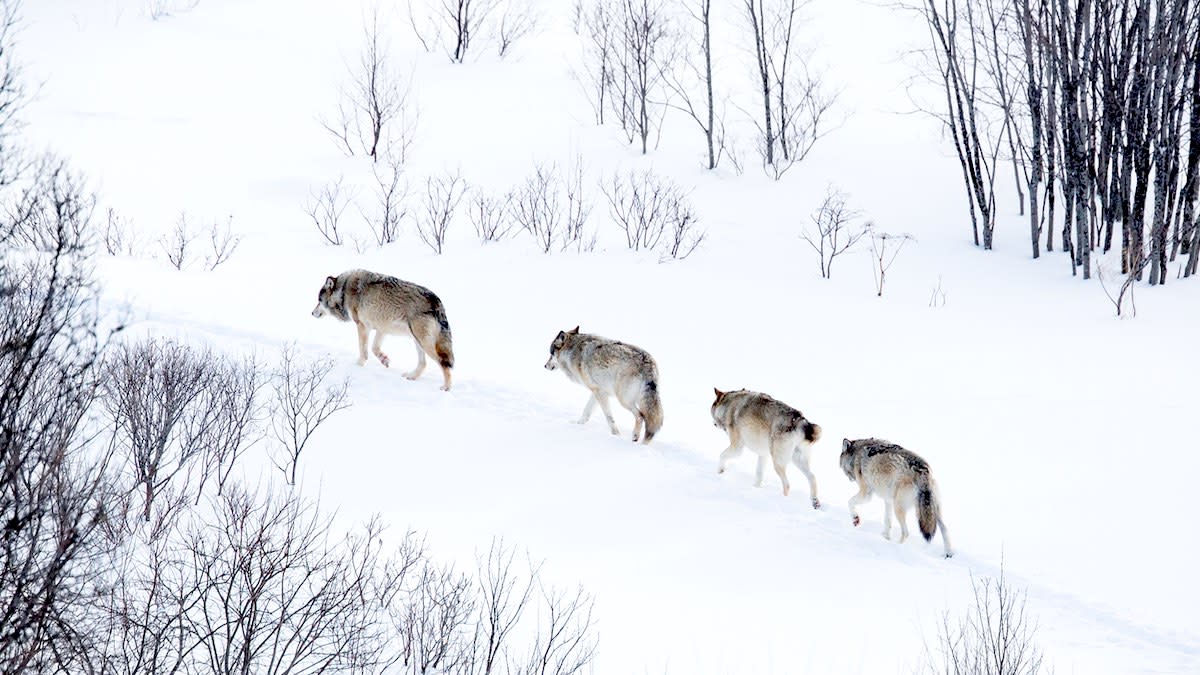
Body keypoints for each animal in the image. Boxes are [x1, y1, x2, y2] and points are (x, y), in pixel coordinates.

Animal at [312, 269, 455, 391]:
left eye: (319, 300)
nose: (312, 313)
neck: (343, 291)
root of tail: (437, 301)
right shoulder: (381, 329)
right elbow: (374, 348)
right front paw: (384, 360)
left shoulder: (362, 326)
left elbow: (363, 350)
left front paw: (357, 366)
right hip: (417, 341)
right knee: (423, 364)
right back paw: (411, 376)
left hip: (423, 342)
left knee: (443, 363)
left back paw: (446, 388)